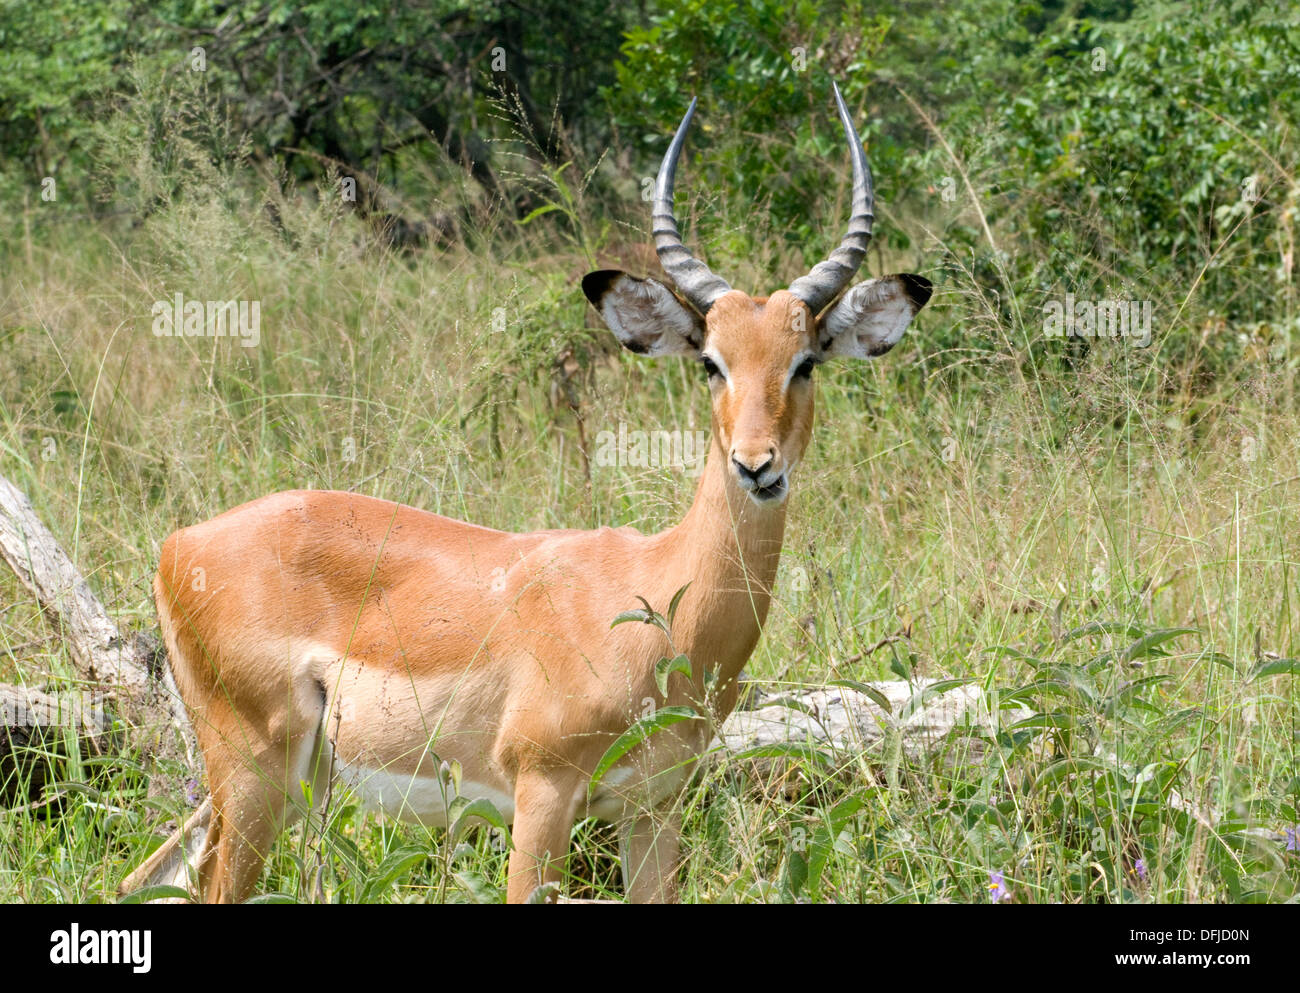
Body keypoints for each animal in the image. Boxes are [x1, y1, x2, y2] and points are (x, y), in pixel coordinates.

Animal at [122, 83, 931, 904]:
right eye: (712, 361)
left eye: (805, 361)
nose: (756, 466)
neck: (658, 601)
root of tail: (177, 544)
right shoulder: (541, 796)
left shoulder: (654, 805)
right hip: (256, 771)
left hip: (281, 786)